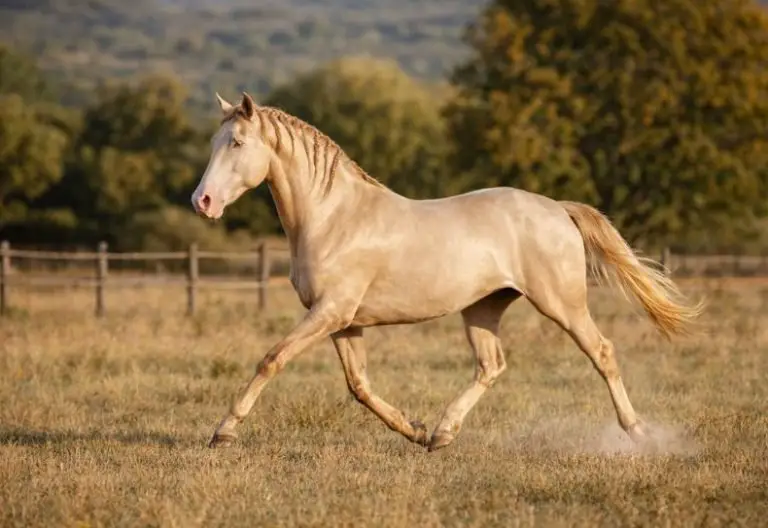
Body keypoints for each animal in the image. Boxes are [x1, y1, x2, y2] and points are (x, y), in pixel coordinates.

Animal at [191, 92, 704, 451]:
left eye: (236, 143)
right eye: (213, 143)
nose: (203, 201)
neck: (334, 216)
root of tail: (558, 208)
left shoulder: (330, 312)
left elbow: (271, 359)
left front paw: (223, 432)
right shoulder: (343, 321)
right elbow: (360, 386)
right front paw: (414, 429)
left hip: (562, 303)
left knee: (602, 352)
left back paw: (637, 432)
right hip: (482, 308)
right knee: (491, 366)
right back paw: (441, 433)